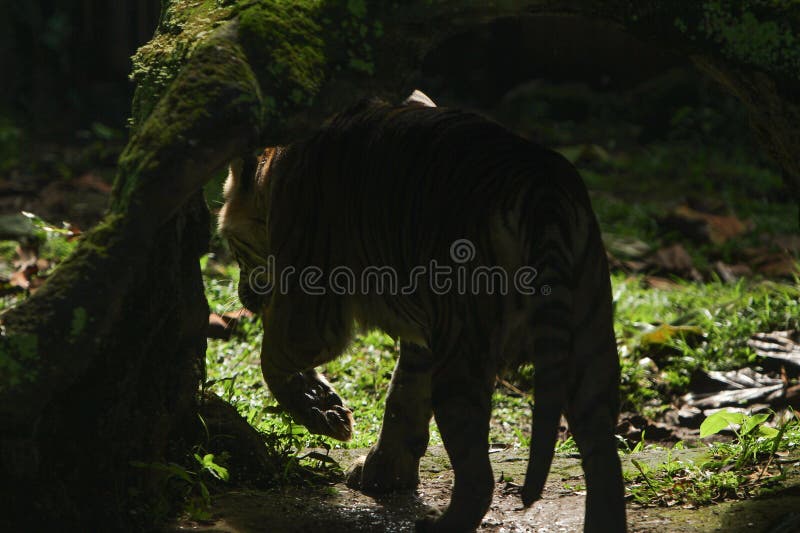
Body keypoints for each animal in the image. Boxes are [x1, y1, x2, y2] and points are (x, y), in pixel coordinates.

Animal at [217, 90, 625, 532]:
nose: (243, 296)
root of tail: (542, 188)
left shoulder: (311, 310)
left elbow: (271, 359)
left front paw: (320, 412)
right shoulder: (422, 339)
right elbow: (403, 398)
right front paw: (380, 470)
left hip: (463, 358)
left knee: (479, 476)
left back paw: (440, 525)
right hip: (590, 344)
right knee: (605, 462)